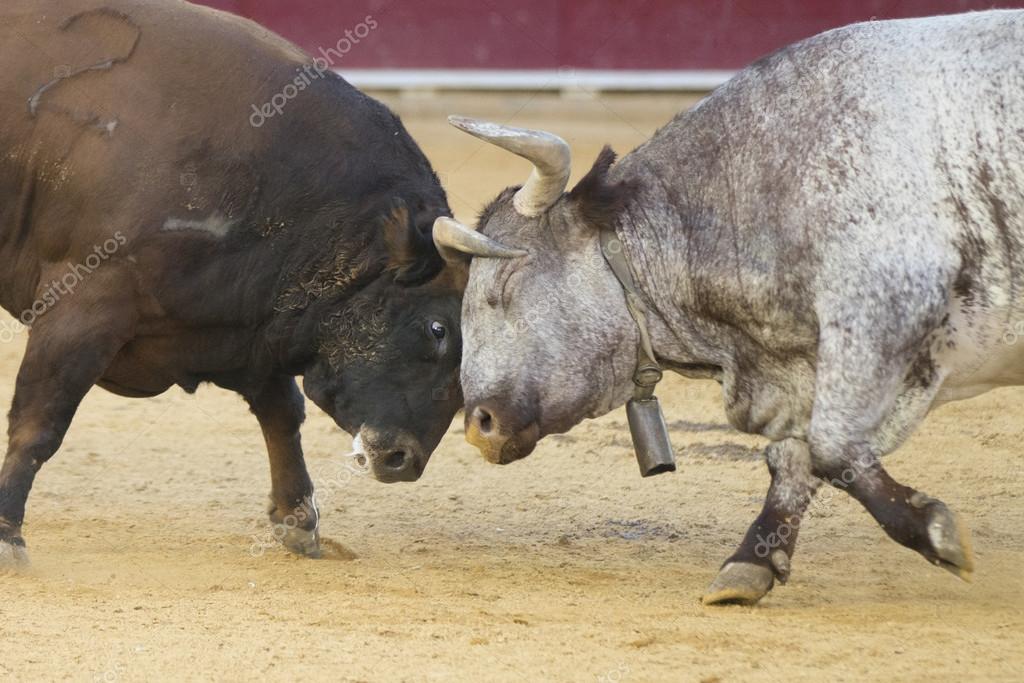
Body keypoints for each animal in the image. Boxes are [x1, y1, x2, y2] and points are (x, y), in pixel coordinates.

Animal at [0, 0, 475, 566]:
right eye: (438, 329)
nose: (404, 460)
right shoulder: (83, 306)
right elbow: (39, 424)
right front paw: (7, 534)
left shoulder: (253, 328)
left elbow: (282, 413)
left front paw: (298, 522)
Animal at [433, 11, 1024, 605]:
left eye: (506, 282)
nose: (478, 425)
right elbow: (796, 454)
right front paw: (751, 560)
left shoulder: (887, 311)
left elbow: (830, 444)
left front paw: (933, 529)